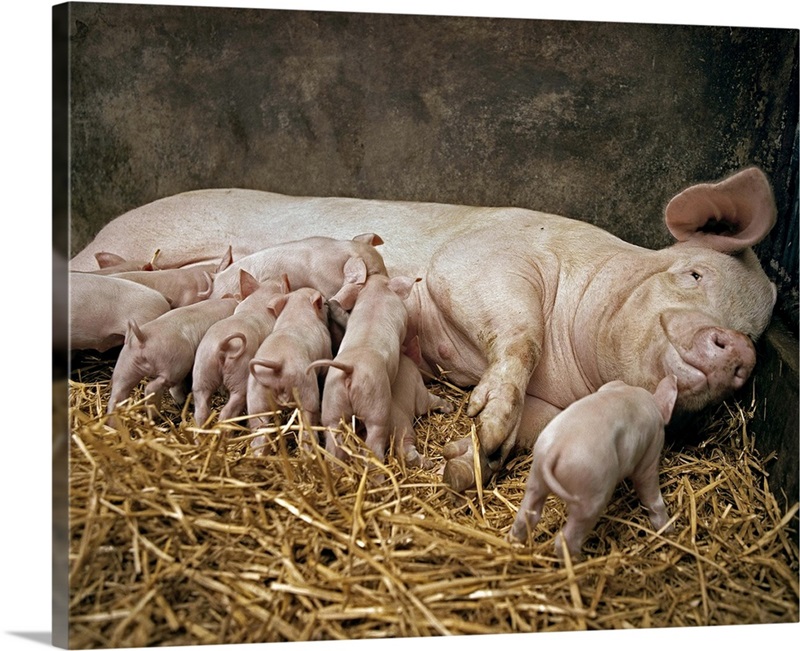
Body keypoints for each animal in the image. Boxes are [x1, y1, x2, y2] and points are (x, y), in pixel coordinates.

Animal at [106, 297, 238, 417]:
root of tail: (143, 338)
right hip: (175, 365)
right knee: (153, 388)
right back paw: (156, 414)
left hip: (126, 362)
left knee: (118, 391)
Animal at [191, 270, 288, 427]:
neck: (260, 300)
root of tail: (223, 345)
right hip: (240, 372)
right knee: (230, 408)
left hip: (203, 367)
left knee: (201, 407)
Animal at [246, 287, 332, 452]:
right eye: (324, 303)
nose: (328, 303)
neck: (296, 311)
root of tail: (278, 364)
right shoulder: (327, 353)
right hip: (306, 390)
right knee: (307, 429)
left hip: (255, 400)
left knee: (260, 435)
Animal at [308, 262, 420, 464]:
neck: (376, 293)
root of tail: (350, 368)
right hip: (376, 403)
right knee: (374, 440)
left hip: (331, 403)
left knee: (334, 439)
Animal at [507, 375, 679, 559]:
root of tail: (554, 450)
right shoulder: (651, 450)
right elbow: (650, 493)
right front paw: (669, 530)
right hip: (590, 490)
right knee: (567, 538)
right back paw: (582, 559)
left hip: (536, 477)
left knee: (527, 516)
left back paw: (516, 544)